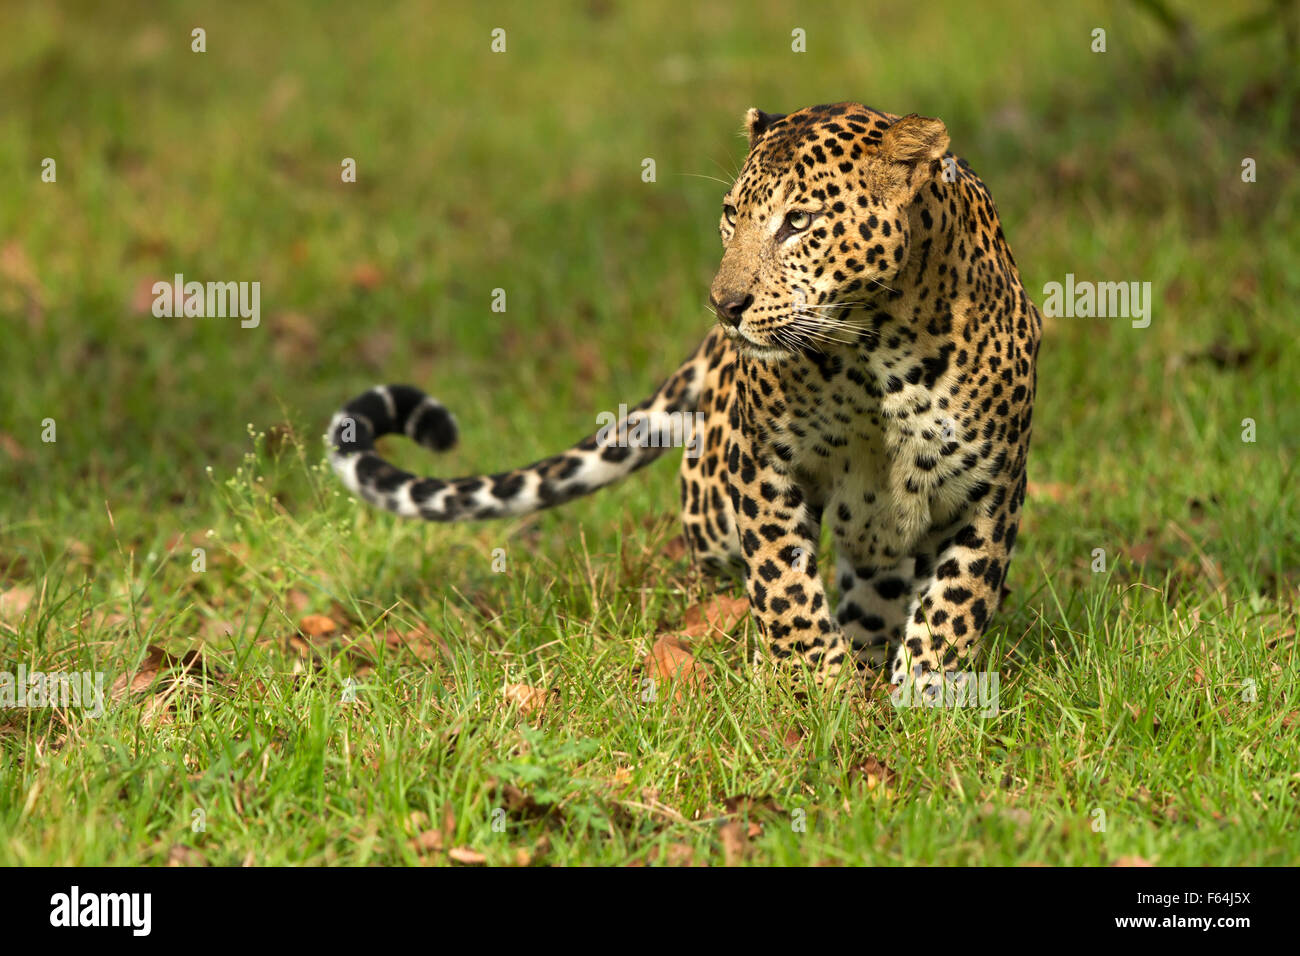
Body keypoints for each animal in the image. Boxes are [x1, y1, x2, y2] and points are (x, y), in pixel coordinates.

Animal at [328, 102, 1042, 693]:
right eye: (731, 216)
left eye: (799, 222)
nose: (725, 305)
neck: (873, 352)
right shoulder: (763, 465)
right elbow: (784, 584)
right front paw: (814, 689)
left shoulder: (991, 488)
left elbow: (955, 604)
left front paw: (924, 701)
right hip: (715, 510)